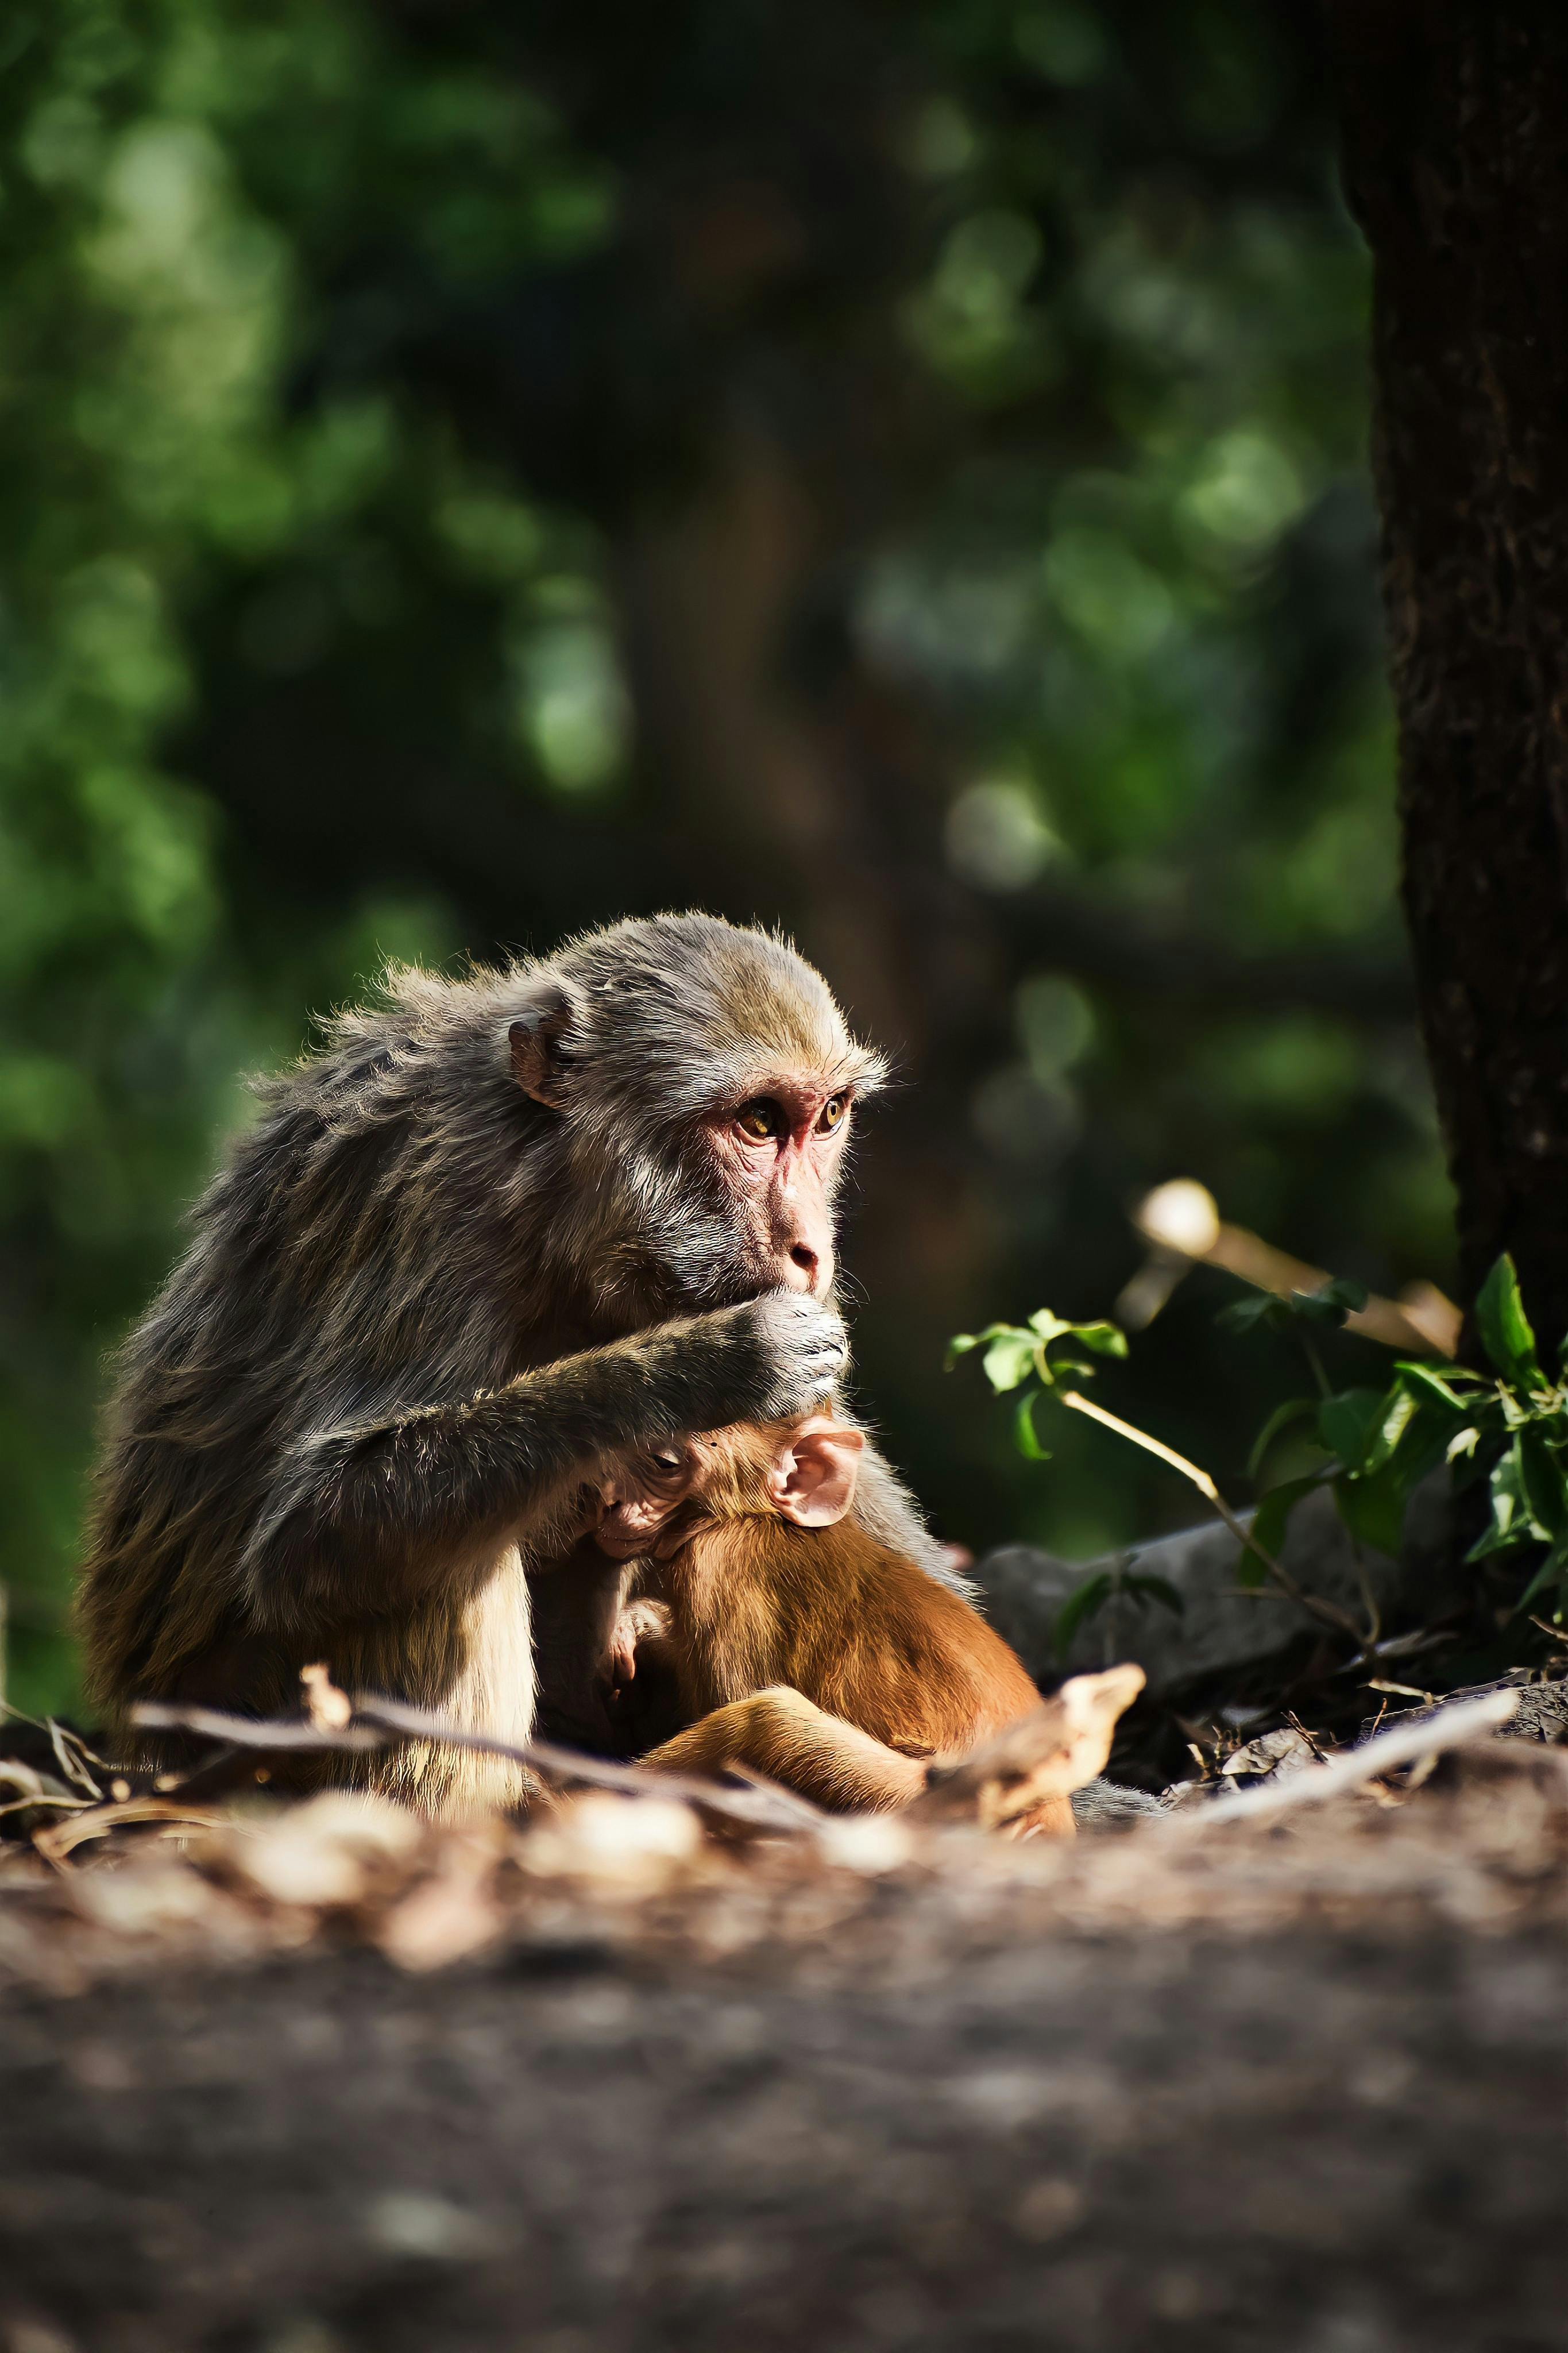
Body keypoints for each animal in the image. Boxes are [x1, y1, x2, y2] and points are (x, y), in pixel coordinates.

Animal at [77, 913, 961, 1815]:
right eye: (757, 1122)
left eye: (828, 1118)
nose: (810, 1249)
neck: (566, 1207)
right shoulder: (431, 1203)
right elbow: (312, 1528)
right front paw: (708, 1363)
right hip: (246, 1735)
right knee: (437, 1567)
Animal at [587, 1413, 1080, 1836]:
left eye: (664, 1463)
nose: (608, 1500)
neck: (755, 1518)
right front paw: (635, 1627)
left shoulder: (720, 1563)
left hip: (912, 1797)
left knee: (770, 1720)